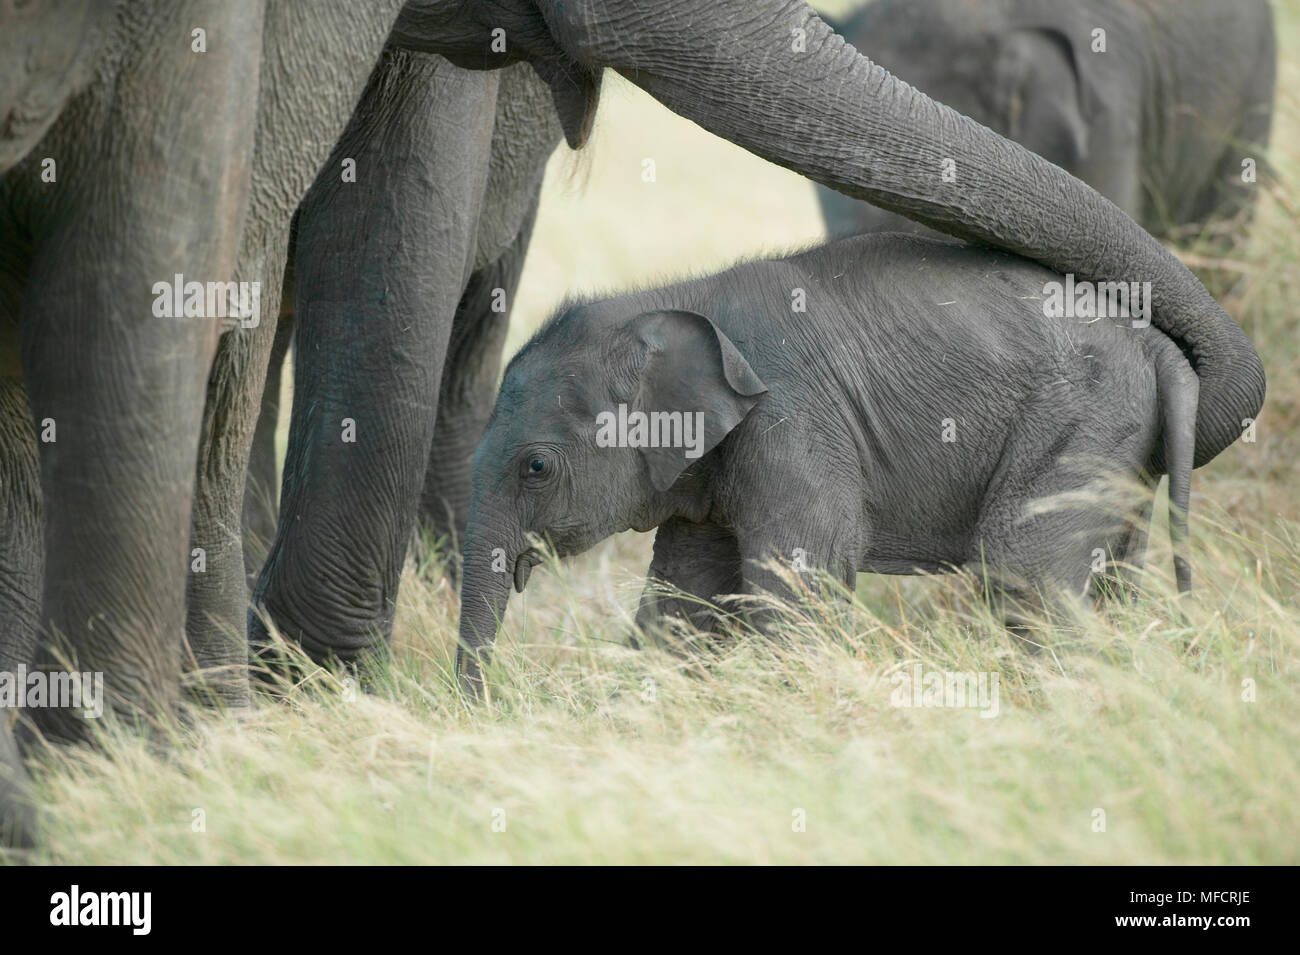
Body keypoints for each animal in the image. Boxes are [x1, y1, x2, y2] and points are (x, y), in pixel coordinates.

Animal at [456, 232, 1199, 687]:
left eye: (536, 468)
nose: (486, 702)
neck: (668, 301)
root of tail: (1157, 344)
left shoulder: (793, 423)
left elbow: (799, 580)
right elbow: (685, 597)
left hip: (1083, 416)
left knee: (1021, 567)